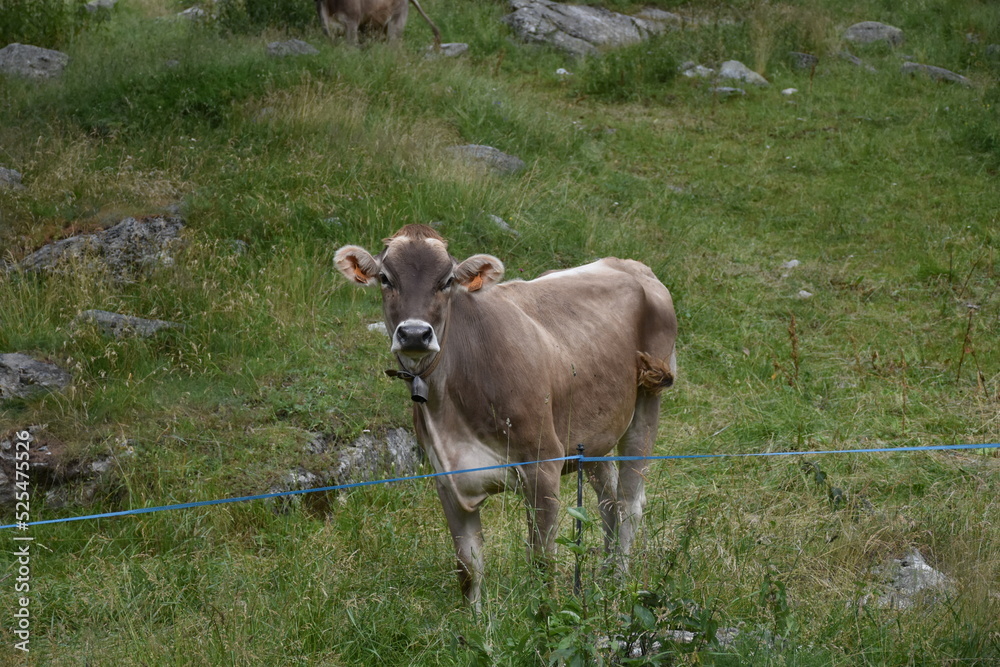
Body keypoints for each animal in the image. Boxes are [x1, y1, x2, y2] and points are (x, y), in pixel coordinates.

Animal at [335, 225, 677, 607]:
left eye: (447, 280)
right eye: (385, 278)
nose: (414, 334)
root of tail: (632, 265)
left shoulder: (543, 464)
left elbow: (542, 562)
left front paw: (545, 619)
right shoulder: (447, 478)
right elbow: (468, 568)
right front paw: (475, 623)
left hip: (648, 398)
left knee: (631, 502)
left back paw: (617, 586)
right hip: (592, 434)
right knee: (610, 502)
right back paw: (602, 580)